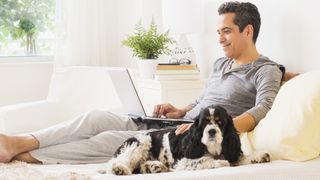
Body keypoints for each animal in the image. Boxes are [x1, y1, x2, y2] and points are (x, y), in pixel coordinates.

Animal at [100, 105, 270, 175]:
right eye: (204, 123)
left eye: (220, 122)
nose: (212, 131)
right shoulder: (182, 162)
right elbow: (206, 161)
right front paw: (220, 162)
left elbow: (240, 157)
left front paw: (260, 156)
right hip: (140, 143)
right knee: (114, 163)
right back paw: (119, 169)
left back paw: (154, 167)